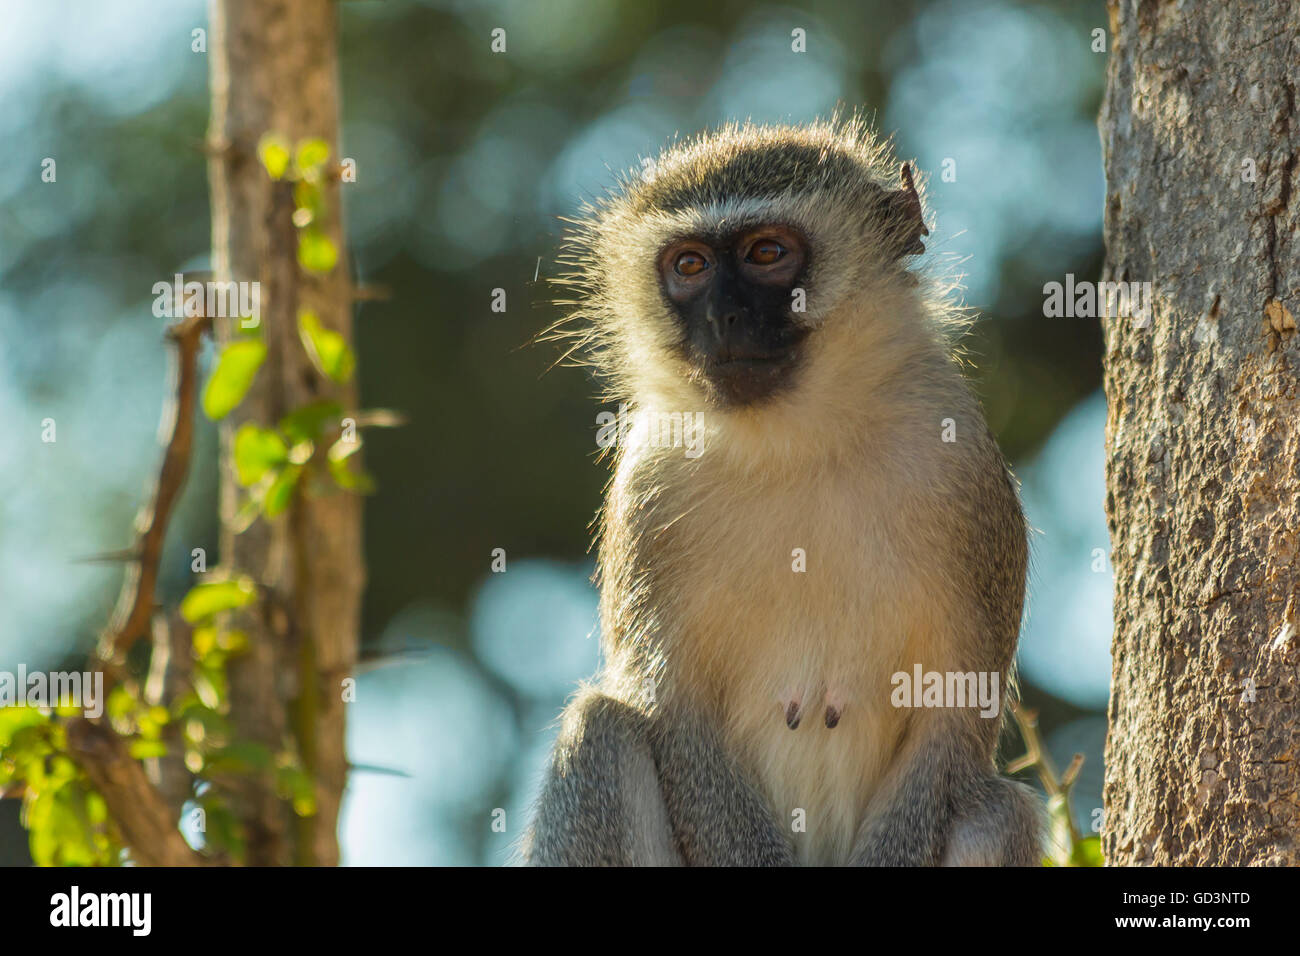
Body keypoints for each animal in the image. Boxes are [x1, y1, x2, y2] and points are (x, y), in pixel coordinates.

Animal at [522, 117, 1042, 866]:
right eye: (689, 267)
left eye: (768, 253)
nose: (725, 319)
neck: (801, 437)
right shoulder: (649, 484)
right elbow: (678, 719)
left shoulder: (967, 474)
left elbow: (951, 727)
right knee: (600, 729)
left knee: (998, 809)